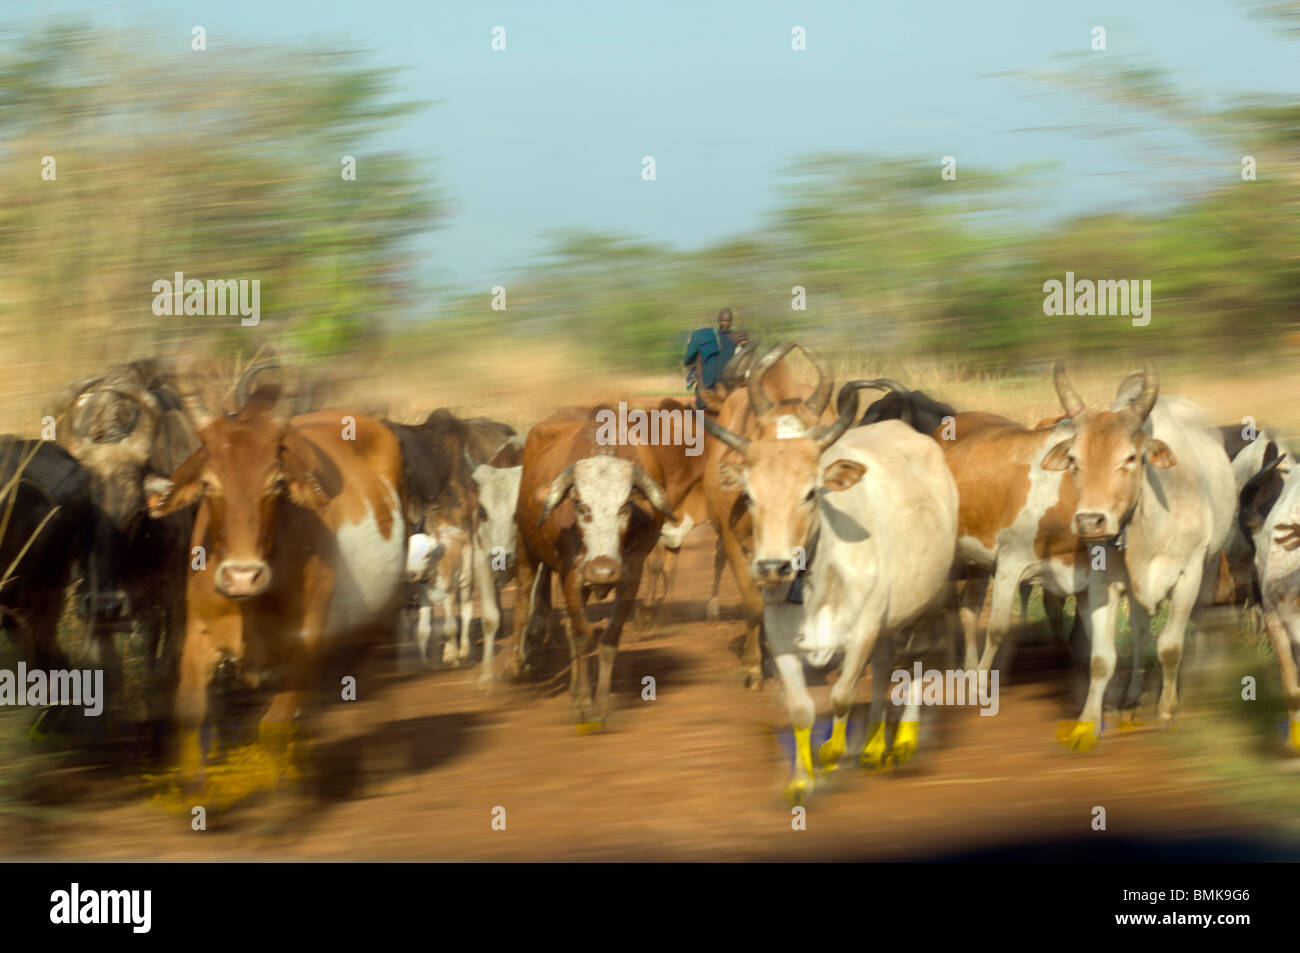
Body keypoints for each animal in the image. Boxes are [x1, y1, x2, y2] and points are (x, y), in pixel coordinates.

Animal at [145, 368, 406, 794]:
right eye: (209, 484)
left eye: (276, 484)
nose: (242, 576)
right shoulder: (199, 636)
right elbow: (191, 713)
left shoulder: (306, 640)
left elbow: (274, 725)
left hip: (382, 613)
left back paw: (383, 767)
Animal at [511, 405, 678, 727]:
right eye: (580, 505)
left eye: (625, 507)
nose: (602, 570)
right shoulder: (570, 575)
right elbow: (582, 635)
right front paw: (585, 704)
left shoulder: (631, 575)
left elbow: (607, 638)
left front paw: (599, 703)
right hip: (526, 553)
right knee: (523, 605)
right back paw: (515, 666)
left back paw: (574, 690)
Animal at [703, 381, 960, 803]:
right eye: (750, 495)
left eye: (811, 493)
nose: (772, 567)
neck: (817, 579)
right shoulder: (783, 640)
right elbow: (801, 709)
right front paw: (801, 780)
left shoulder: (862, 631)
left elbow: (841, 696)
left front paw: (831, 753)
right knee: (885, 665)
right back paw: (873, 746)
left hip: (930, 600)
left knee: (921, 658)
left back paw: (904, 741)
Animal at [1043, 362, 1235, 751]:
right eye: (1073, 459)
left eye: (1130, 458)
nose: (1090, 520)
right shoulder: (1103, 583)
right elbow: (1102, 658)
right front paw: (1088, 722)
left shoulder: (1188, 574)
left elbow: (1170, 647)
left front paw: (1167, 710)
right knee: (1139, 630)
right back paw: (1131, 699)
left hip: (1208, 566)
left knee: (1195, 620)